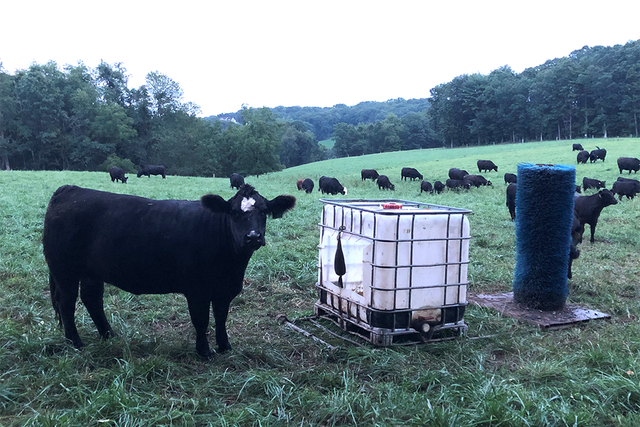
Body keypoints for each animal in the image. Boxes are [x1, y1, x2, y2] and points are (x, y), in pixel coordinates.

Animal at [42, 185, 296, 358]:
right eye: (233, 213)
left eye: (264, 212)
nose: (253, 236)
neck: (232, 266)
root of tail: (70, 190)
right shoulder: (197, 290)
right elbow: (201, 320)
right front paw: (204, 352)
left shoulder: (224, 290)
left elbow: (221, 317)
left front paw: (225, 347)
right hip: (64, 271)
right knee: (67, 303)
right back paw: (75, 342)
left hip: (91, 272)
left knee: (92, 299)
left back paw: (108, 335)